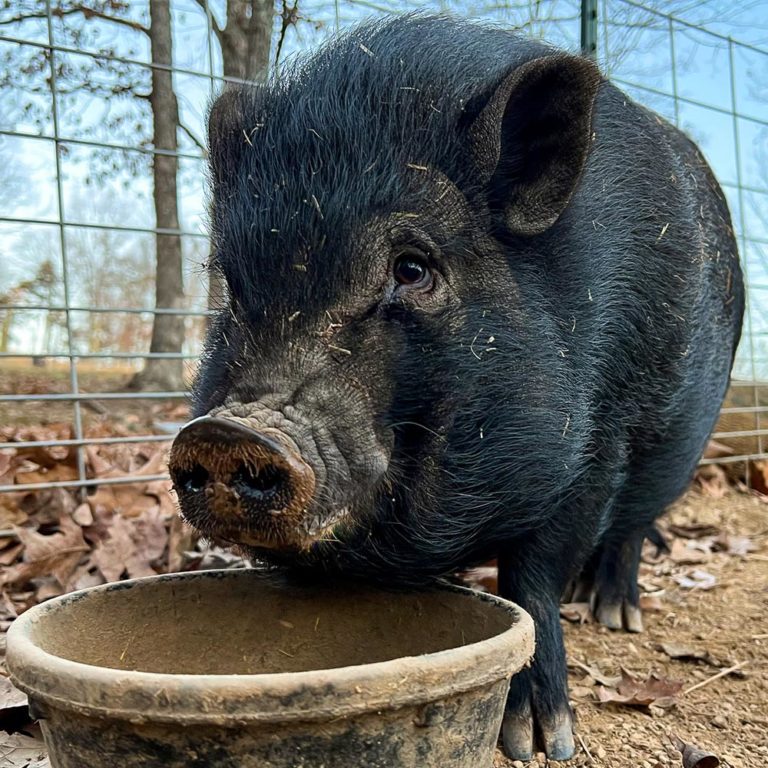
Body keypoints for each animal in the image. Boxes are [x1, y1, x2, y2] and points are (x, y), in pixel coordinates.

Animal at [169, 14, 744, 761]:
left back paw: (614, 614)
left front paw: (537, 742)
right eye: (232, 285)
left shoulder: (596, 445)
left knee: (632, 529)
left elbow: (532, 580)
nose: (228, 431)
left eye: (412, 269)